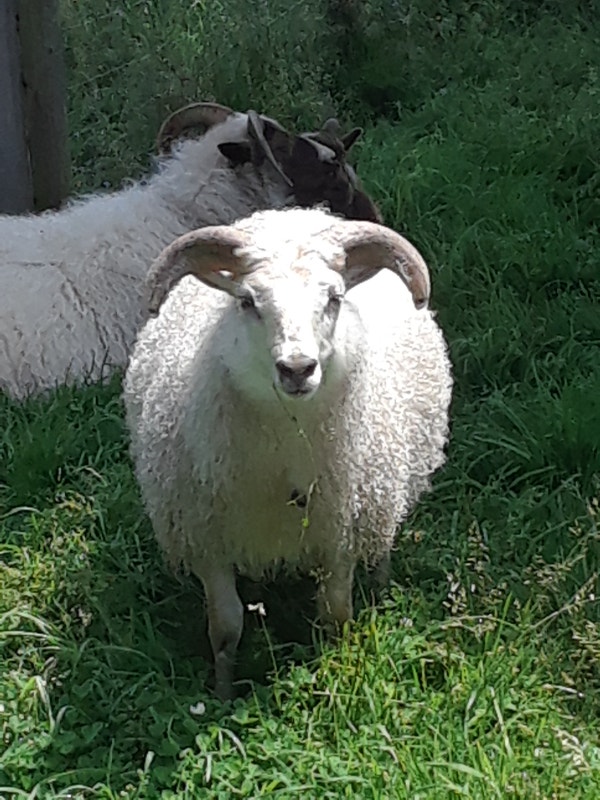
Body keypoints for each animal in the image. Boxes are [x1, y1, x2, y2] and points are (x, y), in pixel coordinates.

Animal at [123, 206, 453, 700]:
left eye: (334, 298)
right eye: (247, 301)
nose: (298, 369)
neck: (286, 442)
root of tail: (292, 214)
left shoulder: (340, 532)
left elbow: (336, 614)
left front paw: (340, 666)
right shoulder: (208, 538)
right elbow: (226, 627)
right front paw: (222, 693)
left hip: (382, 492)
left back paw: (382, 581)